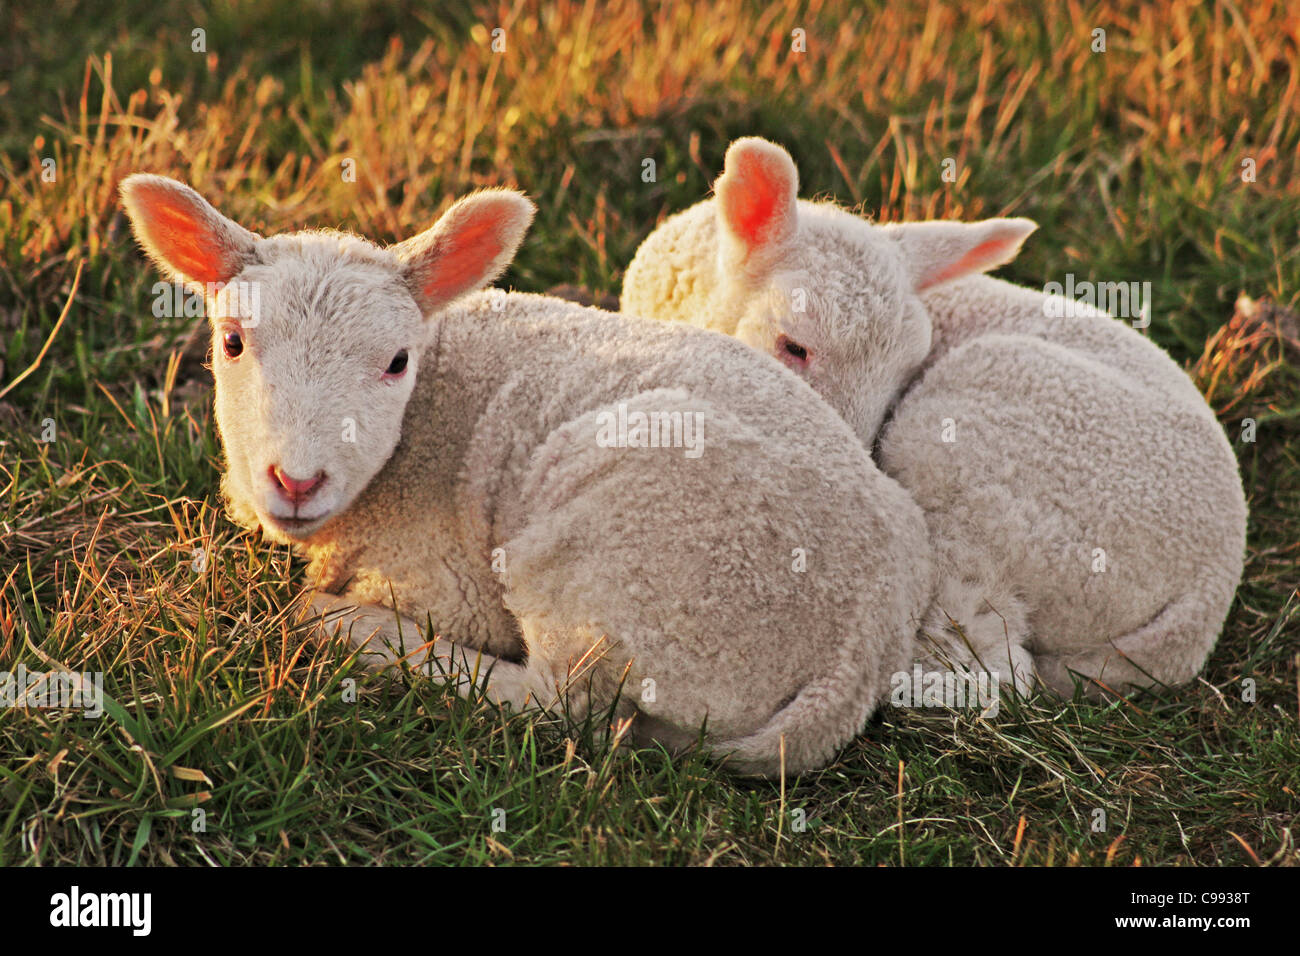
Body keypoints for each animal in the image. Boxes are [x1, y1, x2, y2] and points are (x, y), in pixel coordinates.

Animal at [119, 173, 935, 777]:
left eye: (396, 362)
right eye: (231, 342)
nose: (296, 481)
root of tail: (859, 652)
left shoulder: (445, 578)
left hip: (620, 560)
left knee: (559, 703)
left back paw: (345, 627)